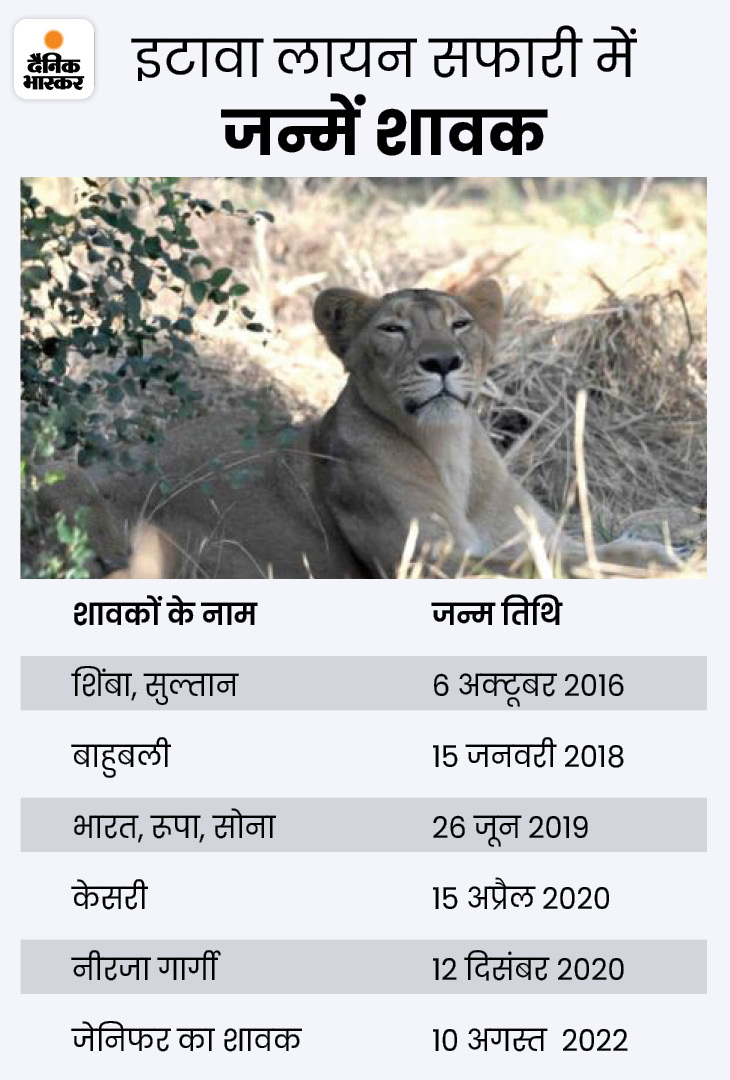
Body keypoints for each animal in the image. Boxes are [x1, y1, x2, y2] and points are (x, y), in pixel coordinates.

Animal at [38, 278, 674, 578]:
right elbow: (538, 567)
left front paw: (654, 551)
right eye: (393, 329)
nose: (443, 361)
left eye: (461, 324)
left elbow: (591, 548)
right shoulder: (422, 562)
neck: (450, 451)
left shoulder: (537, 535)